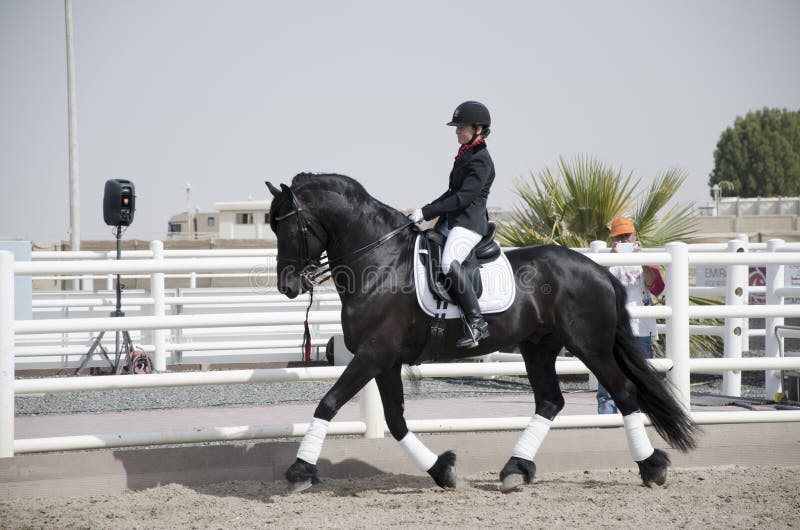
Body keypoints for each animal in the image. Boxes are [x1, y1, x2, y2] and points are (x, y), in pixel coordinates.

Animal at [266, 173, 698, 493]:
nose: (287, 286)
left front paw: (300, 472)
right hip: (539, 346)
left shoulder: (374, 353)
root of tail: (600, 272)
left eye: (290, 228)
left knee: (623, 392)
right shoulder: (384, 360)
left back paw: (651, 468)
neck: (380, 261)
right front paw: (442, 470)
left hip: (588, 345)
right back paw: (515, 470)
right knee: (550, 401)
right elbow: (395, 421)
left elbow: (328, 403)